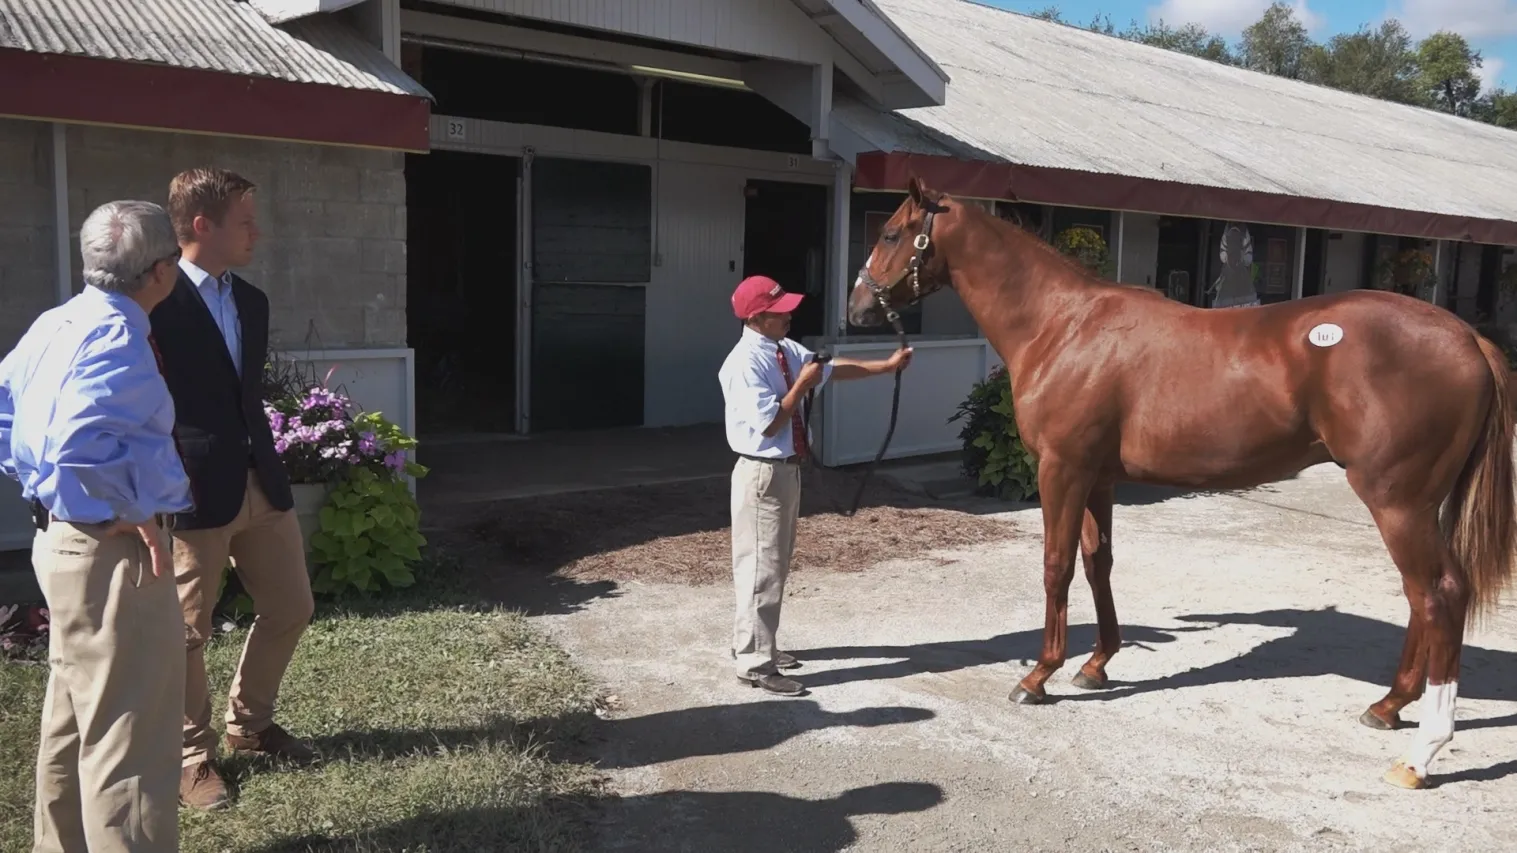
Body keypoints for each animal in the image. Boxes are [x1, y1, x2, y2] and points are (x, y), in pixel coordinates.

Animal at [848, 177, 1515, 790]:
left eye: (890, 233)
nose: (856, 309)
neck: (1063, 326)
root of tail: (1469, 338)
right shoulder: (1098, 479)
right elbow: (1098, 561)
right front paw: (1097, 664)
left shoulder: (1061, 469)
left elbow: (1056, 565)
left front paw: (1038, 676)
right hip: (1414, 506)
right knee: (1420, 597)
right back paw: (1388, 705)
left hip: (1396, 502)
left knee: (1439, 594)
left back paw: (1421, 752)